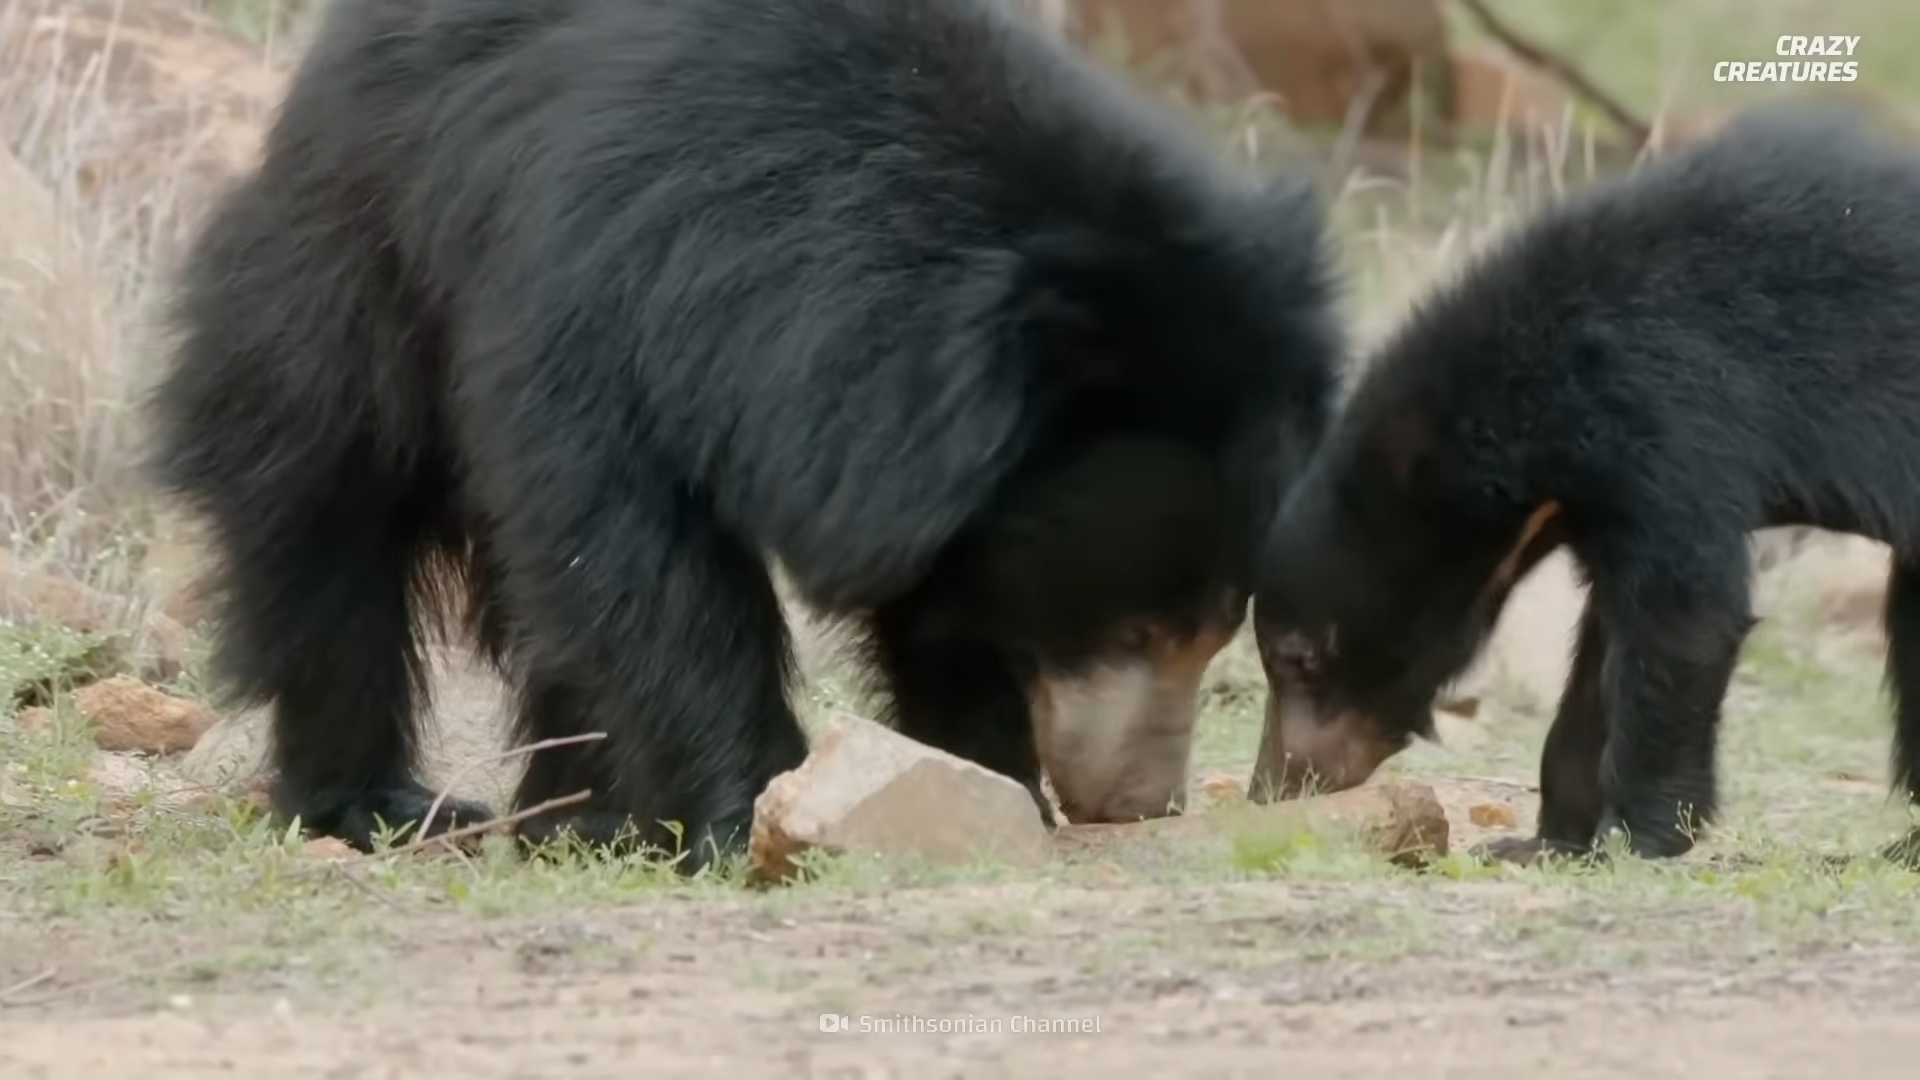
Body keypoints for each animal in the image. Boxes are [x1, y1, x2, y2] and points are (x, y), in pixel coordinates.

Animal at [144, 0, 1343, 871]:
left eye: (1217, 625)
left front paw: (978, 775)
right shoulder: (589, 307)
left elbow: (939, 604)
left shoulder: (928, 480)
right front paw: (743, 812)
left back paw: (574, 820)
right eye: (1136, 627)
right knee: (322, 517)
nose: (1140, 802)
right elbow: (636, 569)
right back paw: (386, 803)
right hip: (348, 277)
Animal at [1245, 100, 1920, 866]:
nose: (1273, 787)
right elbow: (1603, 649)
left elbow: (1685, 618)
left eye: (1302, 658)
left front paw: (1637, 835)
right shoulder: (1602, 502)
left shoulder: (1671, 414)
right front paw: (1543, 841)